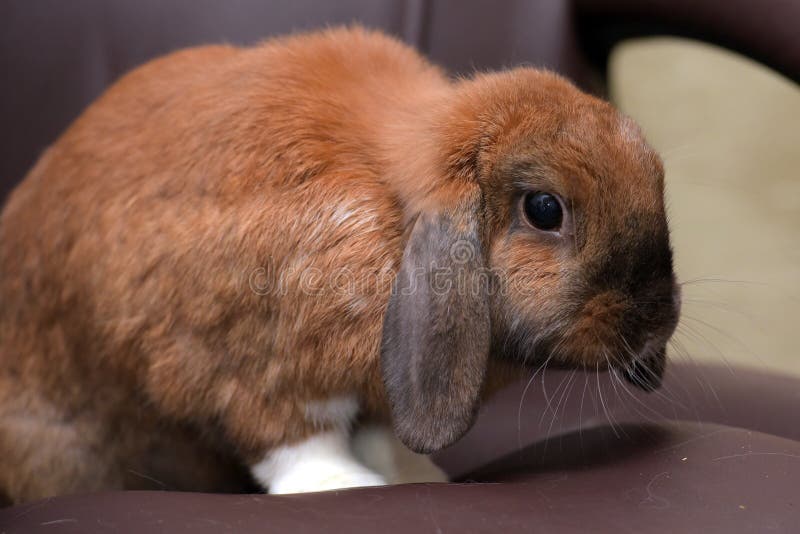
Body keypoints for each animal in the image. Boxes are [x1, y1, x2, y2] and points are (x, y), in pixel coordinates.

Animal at [0, 26, 680, 503]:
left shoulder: (378, 382)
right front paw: (342, 485)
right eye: (544, 208)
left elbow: (381, 429)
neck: (388, 211)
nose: (655, 323)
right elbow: (291, 434)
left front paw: (415, 474)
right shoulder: (247, 363)